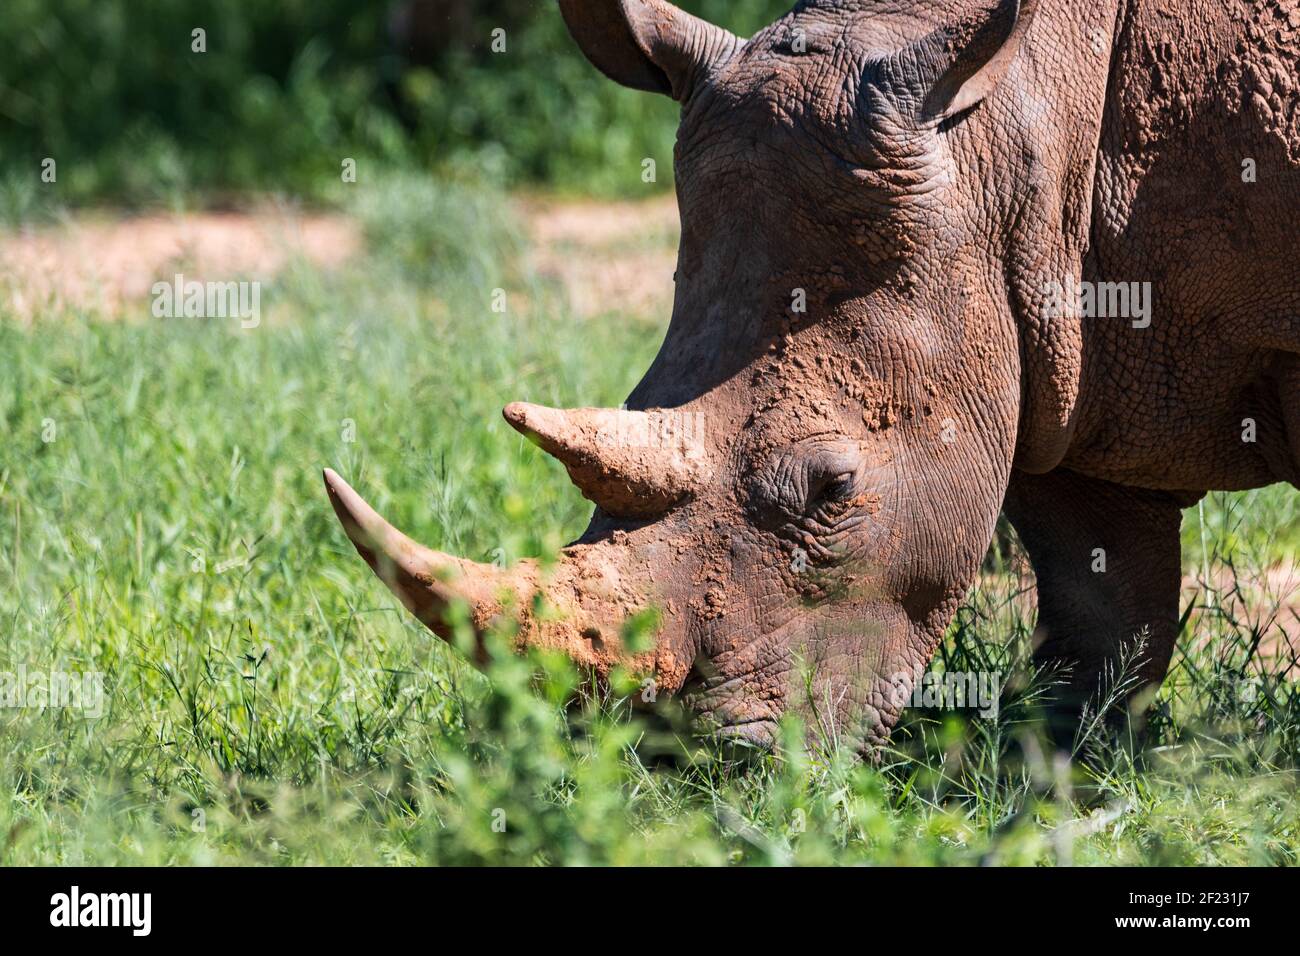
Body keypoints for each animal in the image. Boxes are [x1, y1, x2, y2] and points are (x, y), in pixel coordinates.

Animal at [325, 0, 1300, 755]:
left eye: (833, 490)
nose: (680, 764)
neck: (1018, 131)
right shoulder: (1051, 360)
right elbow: (1104, 605)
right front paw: (1060, 771)